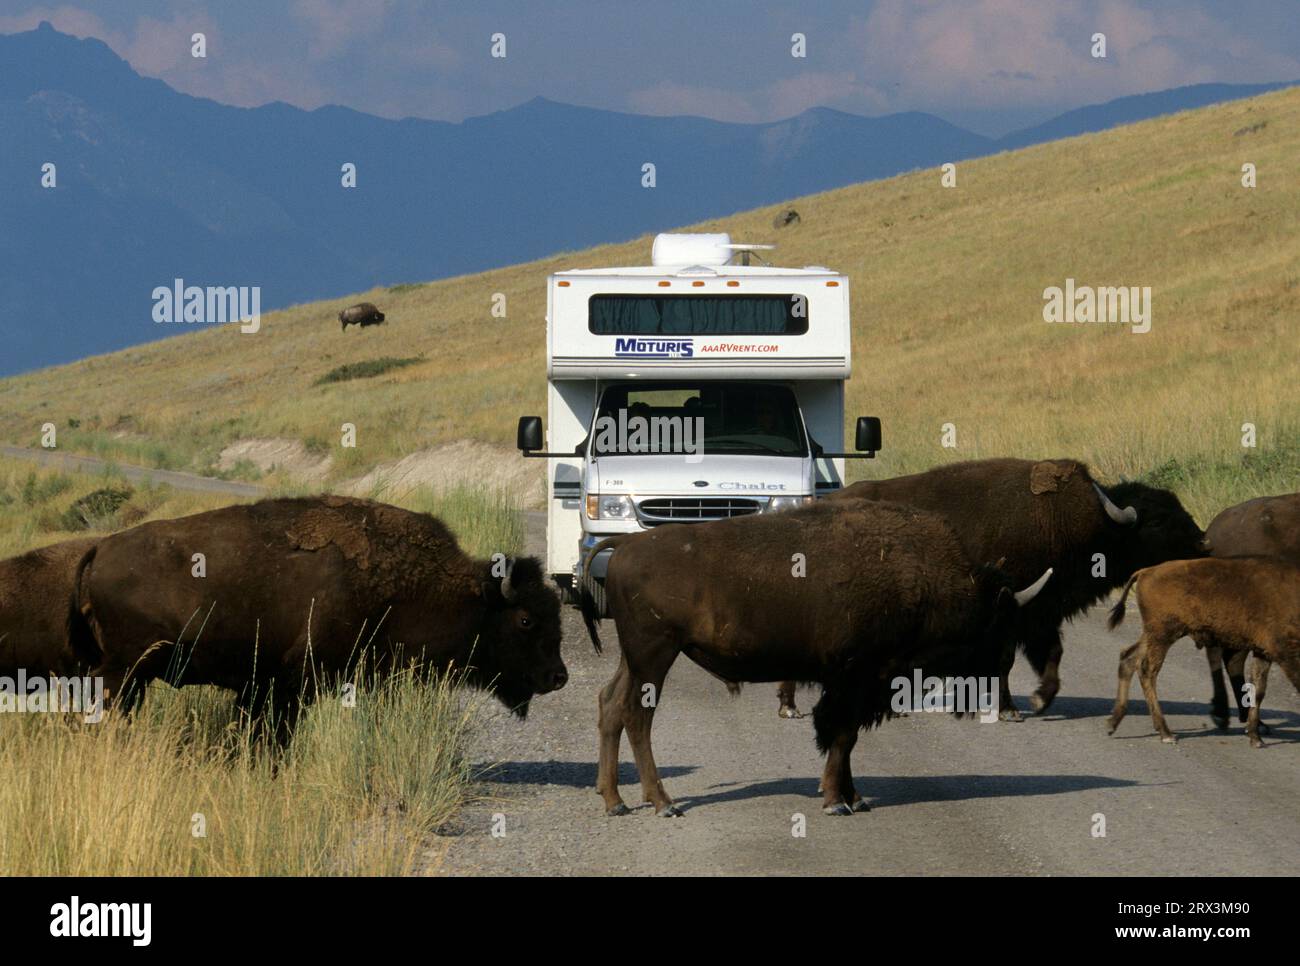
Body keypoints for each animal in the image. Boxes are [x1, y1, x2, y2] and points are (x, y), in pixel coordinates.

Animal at [73, 496, 564, 737]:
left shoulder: (267, 686)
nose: (558, 677)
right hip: (124, 671)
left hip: (135, 676)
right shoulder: (293, 682)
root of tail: (99, 549)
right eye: (525, 620)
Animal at [580, 499, 1051, 817]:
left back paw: (615, 800)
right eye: (997, 626)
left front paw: (854, 798)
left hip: (635, 659)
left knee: (610, 705)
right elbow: (841, 737)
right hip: (655, 656)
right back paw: (663, 803)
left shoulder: (857, 686)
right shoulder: (856, 680)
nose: (997, 676)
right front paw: (834, 801)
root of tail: (626, 543)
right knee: (637, 717)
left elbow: (848, 739)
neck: (918, 576)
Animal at [803, 458, 1205, 721]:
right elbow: (1007, 660)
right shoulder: (1012, 612)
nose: (1202, 541)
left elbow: (1052, 654)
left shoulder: (1041, 614)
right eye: (1158, 520)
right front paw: (1012, 709)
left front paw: (1040, 700)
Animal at [1106, 556, 1300, 747]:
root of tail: (1145, 572)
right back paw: (1166, 733)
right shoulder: (1284, 653)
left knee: (1128, 658)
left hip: (1155, 635)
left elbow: (1258, 690)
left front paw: (1255, 737)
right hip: (1163, 635)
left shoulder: (1264, 652)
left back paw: (1113, 723)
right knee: (1147, 671)